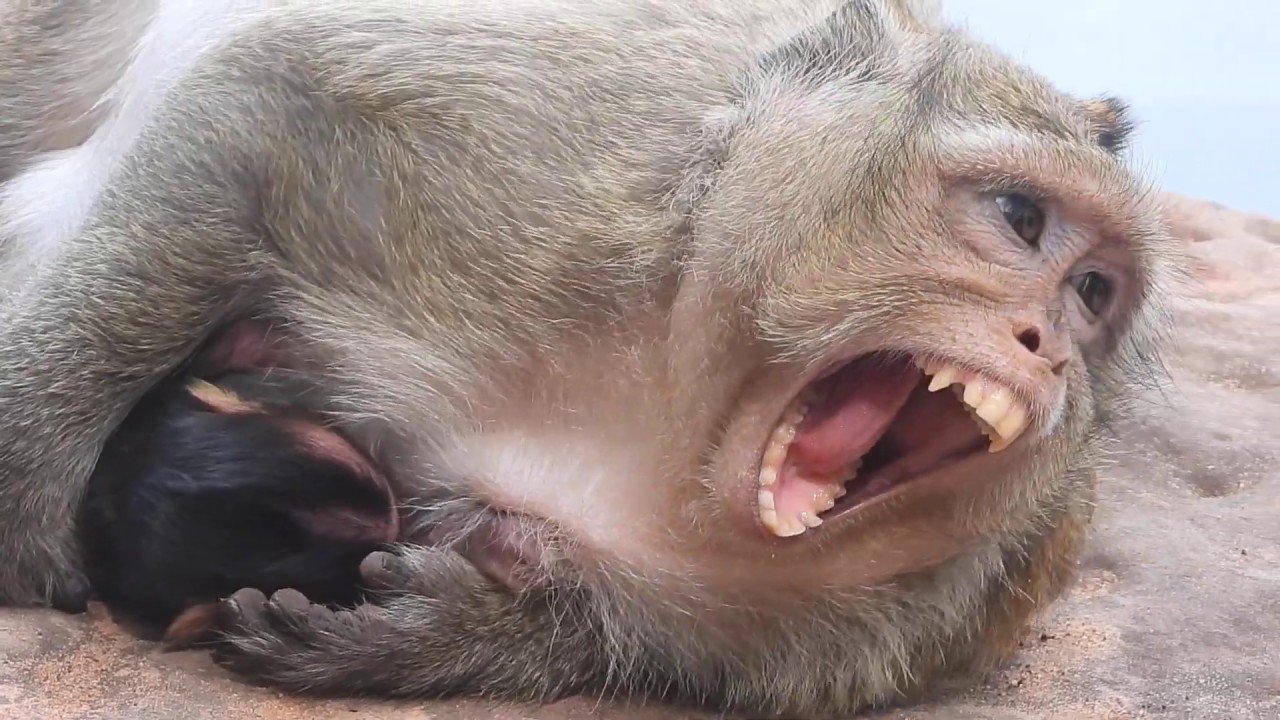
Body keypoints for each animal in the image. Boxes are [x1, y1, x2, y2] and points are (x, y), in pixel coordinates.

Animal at [0, 0, 1177, 717]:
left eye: (1092, 294)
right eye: (1020, 218)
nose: (1047, 346)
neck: (674, 412)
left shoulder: (930, 613)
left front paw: (436, 633)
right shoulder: (569, 155)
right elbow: (264, 109)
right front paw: (31, 464)